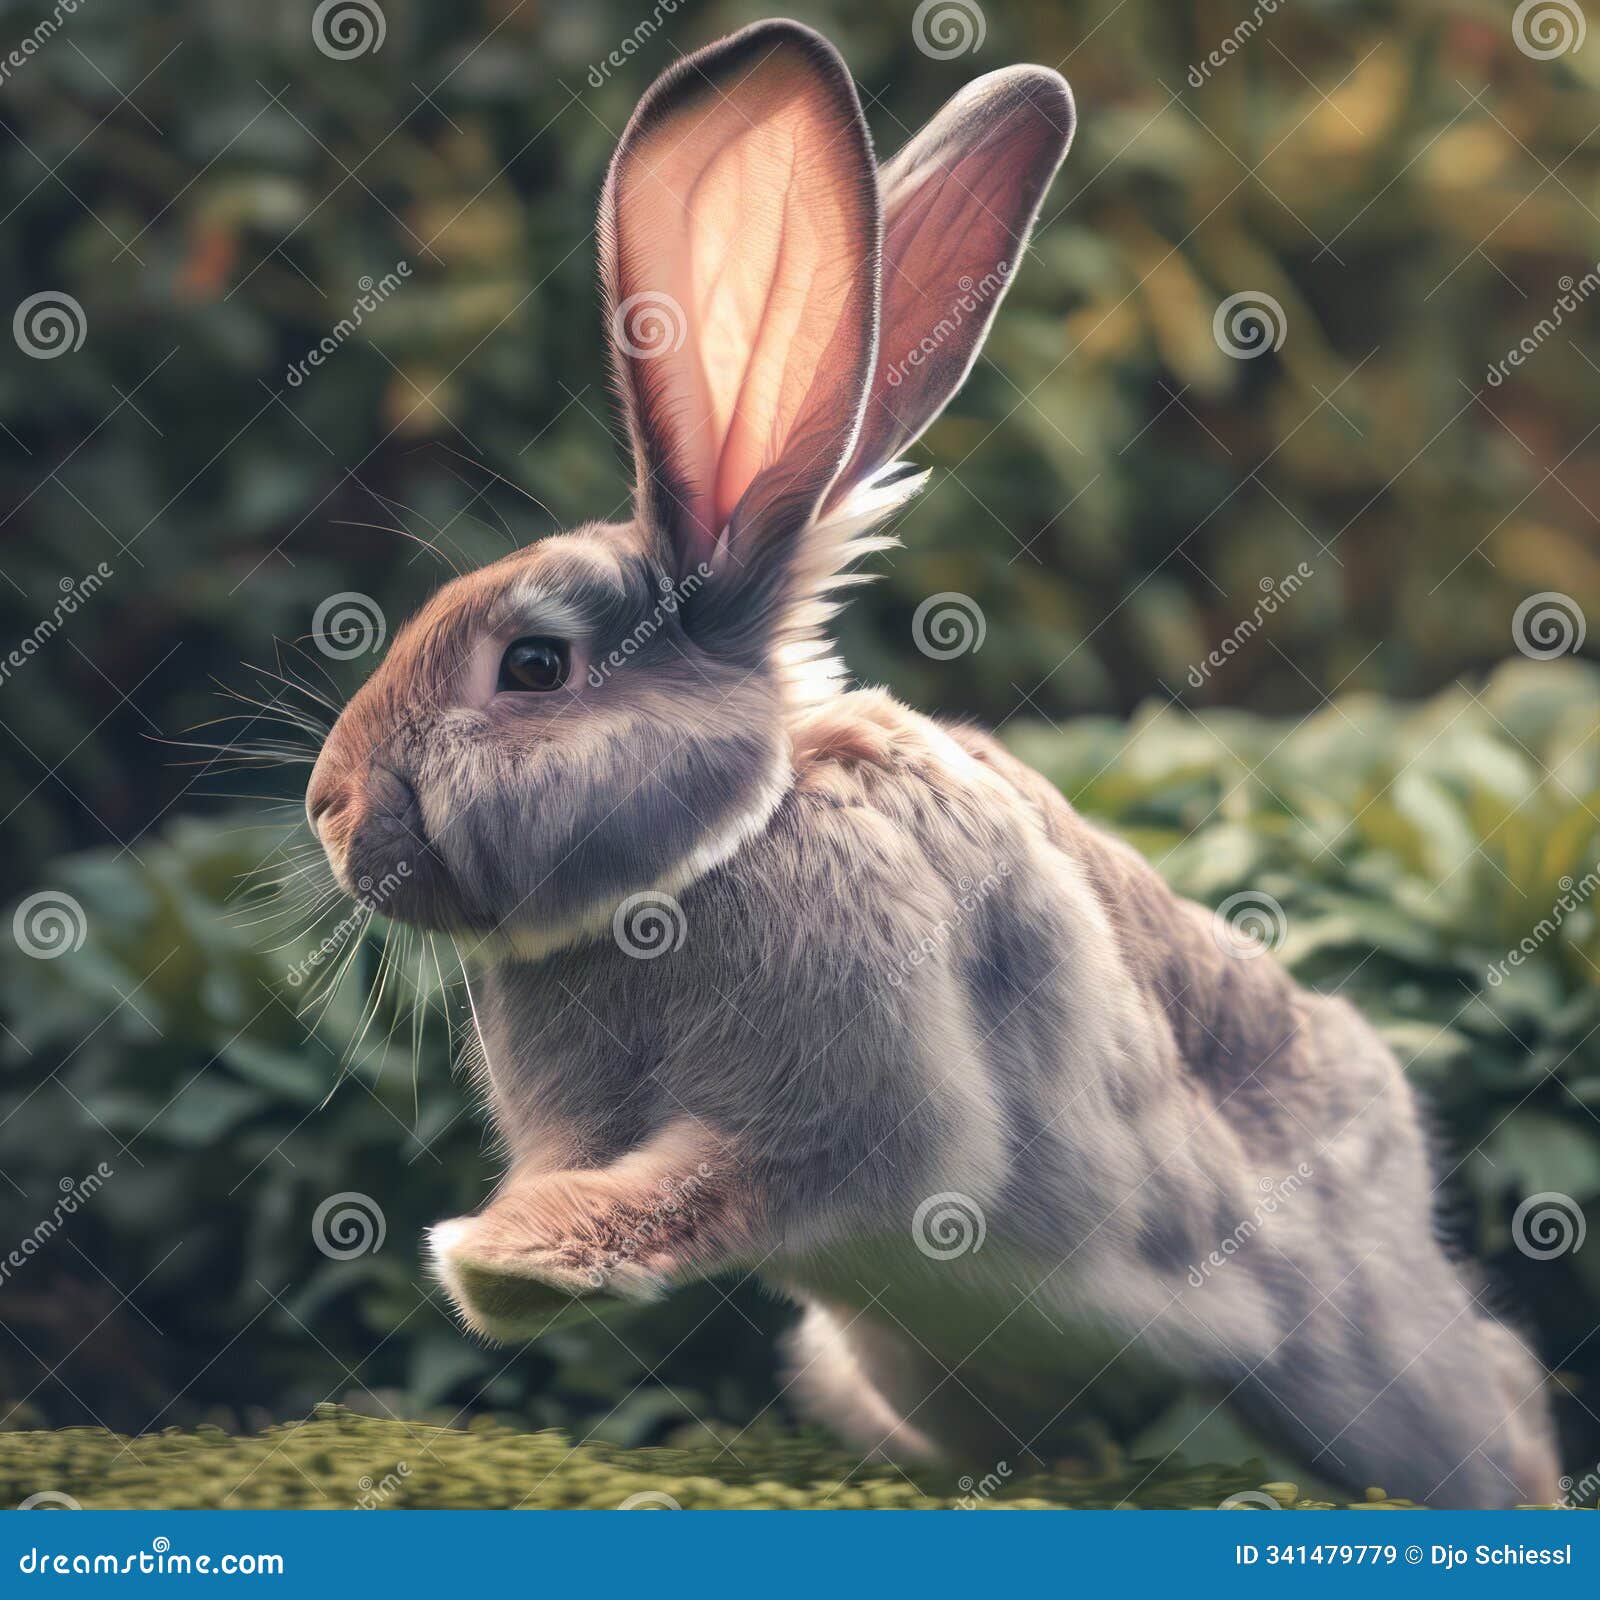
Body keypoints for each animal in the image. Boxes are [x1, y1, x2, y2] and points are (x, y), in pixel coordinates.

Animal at [303, 19, 1560, 1508]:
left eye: (535, 667)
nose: (327, 812)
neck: (718, 851)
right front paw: (500, 1265)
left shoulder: (843, 1109)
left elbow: (720, 1181)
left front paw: (502, 1261)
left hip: (1359, 1362)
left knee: (1486, 1393)